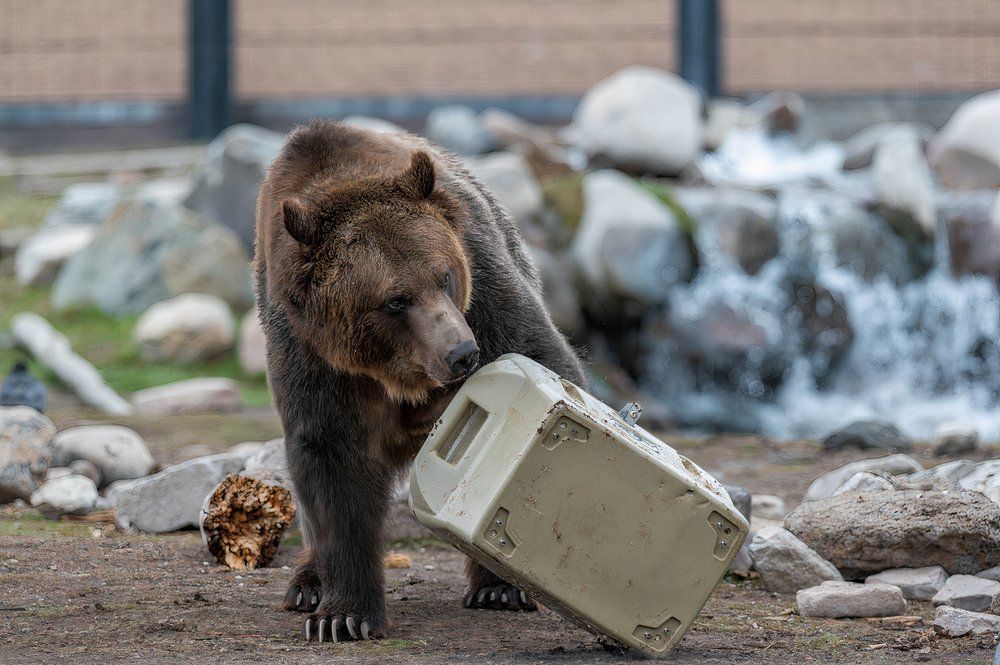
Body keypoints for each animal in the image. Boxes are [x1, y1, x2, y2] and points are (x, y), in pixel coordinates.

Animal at [254, 119, 584, 643]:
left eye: (444, 276)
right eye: (395, 300)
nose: (462, 353)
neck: (395, 372)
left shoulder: (485, 288)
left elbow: (542, 359)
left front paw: (505, 577)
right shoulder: (313, 354)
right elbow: (330, 460)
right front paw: (341, 616)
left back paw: (497, 589)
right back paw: (306, 584)